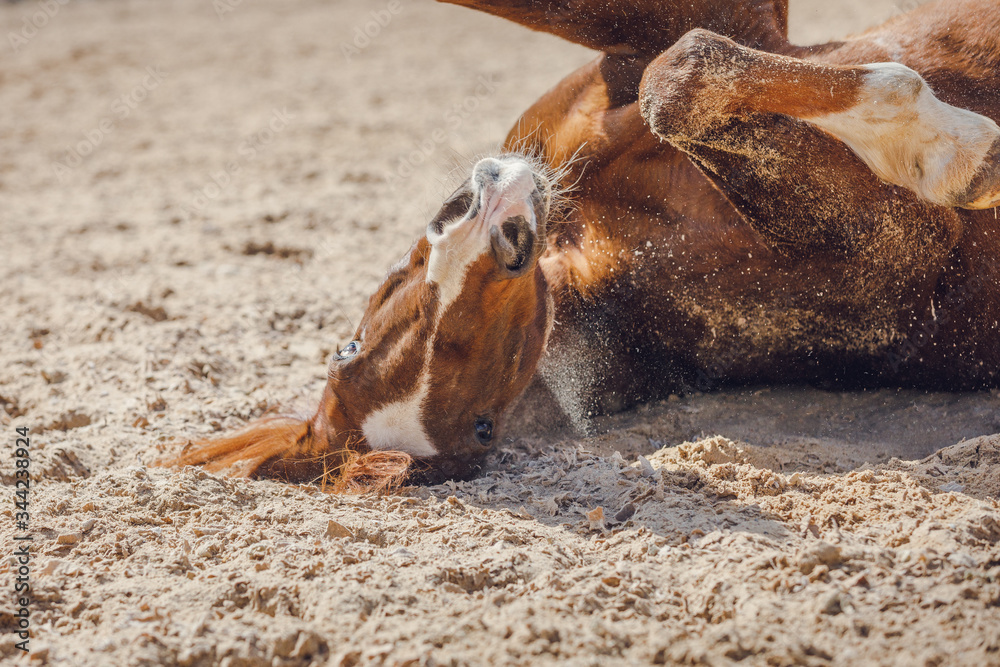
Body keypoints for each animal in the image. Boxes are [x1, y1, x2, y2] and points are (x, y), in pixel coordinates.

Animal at [170, 0, 1000, 486]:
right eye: (483, 424)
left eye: (345, 345)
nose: (499, 222)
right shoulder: (895, 250)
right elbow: (682, 76)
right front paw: (954, 151)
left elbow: (669, 68)